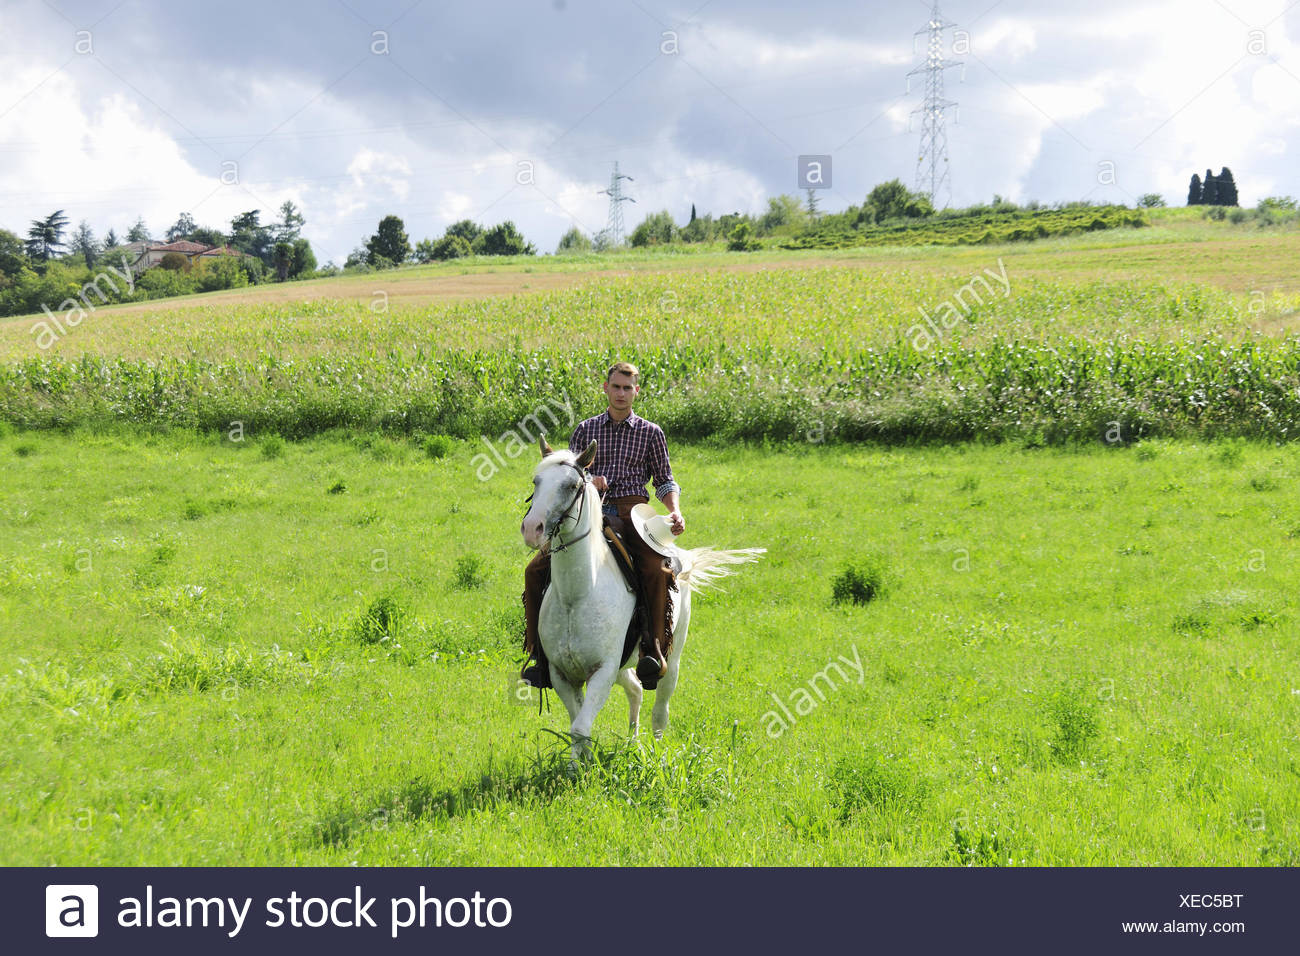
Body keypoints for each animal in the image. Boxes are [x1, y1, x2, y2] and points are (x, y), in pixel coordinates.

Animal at [519, 435, 764, 761]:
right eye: (537, 481)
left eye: (571, 485)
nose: (531, 529)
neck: (577, 595)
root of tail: (680, 556)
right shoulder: (562, 675)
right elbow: (576, 727)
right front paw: (579, 765)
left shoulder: (602, 672)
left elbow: (580, 728)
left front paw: (579, 770)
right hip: (624, 666)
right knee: (635, 690)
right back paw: (631, 743)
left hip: (669, 661)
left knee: (660, 712)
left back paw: (656, 754)